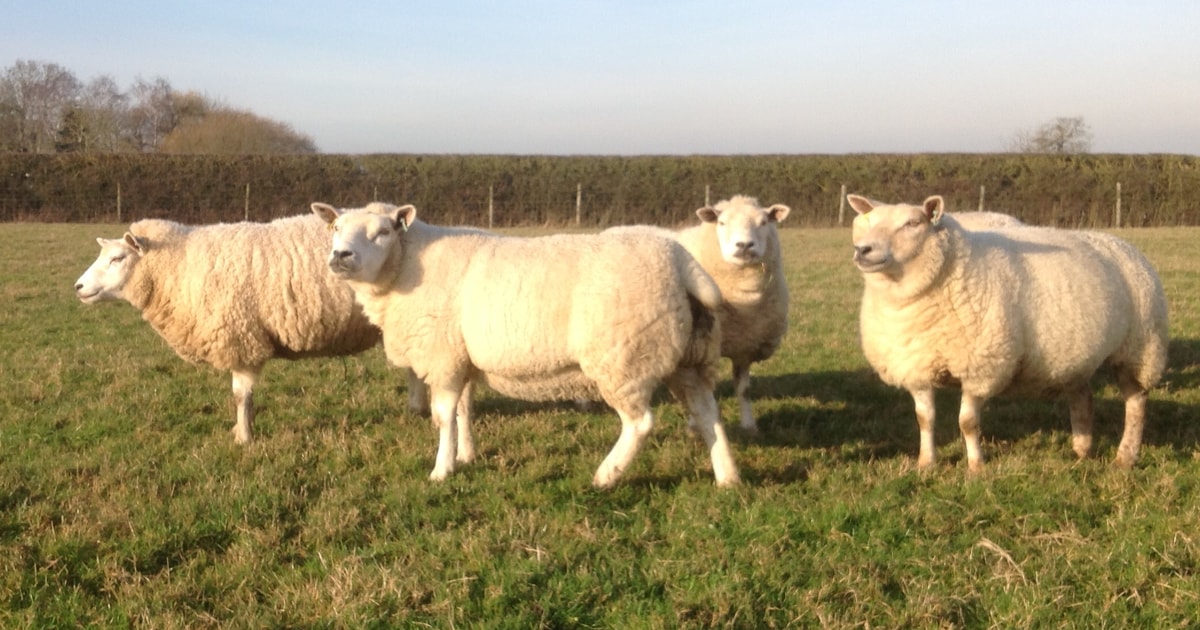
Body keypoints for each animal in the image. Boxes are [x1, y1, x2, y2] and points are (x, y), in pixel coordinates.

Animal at [74, 214, 464, 449]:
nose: (78, 287)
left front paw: (244, 438)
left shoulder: (240, 336)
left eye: (118, 259)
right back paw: (417, 408)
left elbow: (240, 396)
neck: (180, 265)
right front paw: (240, 432)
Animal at [312, 201, 741, 488]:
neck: (405, 264)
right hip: (689, 357)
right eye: (335, 228)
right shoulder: (462, 356)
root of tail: (681, 260)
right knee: (708, 413)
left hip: (625, 357)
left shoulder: (444, 355)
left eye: (383, 231)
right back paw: (728, 478)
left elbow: (444, 414)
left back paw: (606, 475)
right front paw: (467, 455)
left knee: (640, 423)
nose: (340, 255)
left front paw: (441, 469)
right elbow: (464, 409)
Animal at [608, 194, 790, 433]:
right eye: (721, 223)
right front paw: (695, 426)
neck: (744, 301)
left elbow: (743, 390)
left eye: (764, 222)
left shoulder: (745, 346)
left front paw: (749, 426)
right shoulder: (699, 347)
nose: (744, 245)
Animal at [847, 193, 1168, 472]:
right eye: (869, 221)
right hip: (1074, 354)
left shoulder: (981, 367)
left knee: (1136, 403)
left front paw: (976, 467)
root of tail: (1125, 245)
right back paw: (1081, 449)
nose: (862, 250)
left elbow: (968, 423)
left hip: (1140, 349)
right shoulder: (916, 366)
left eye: (913, 223)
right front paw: (926, 464)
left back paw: (1126, 456)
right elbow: (924, 419)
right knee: (1083, 398)